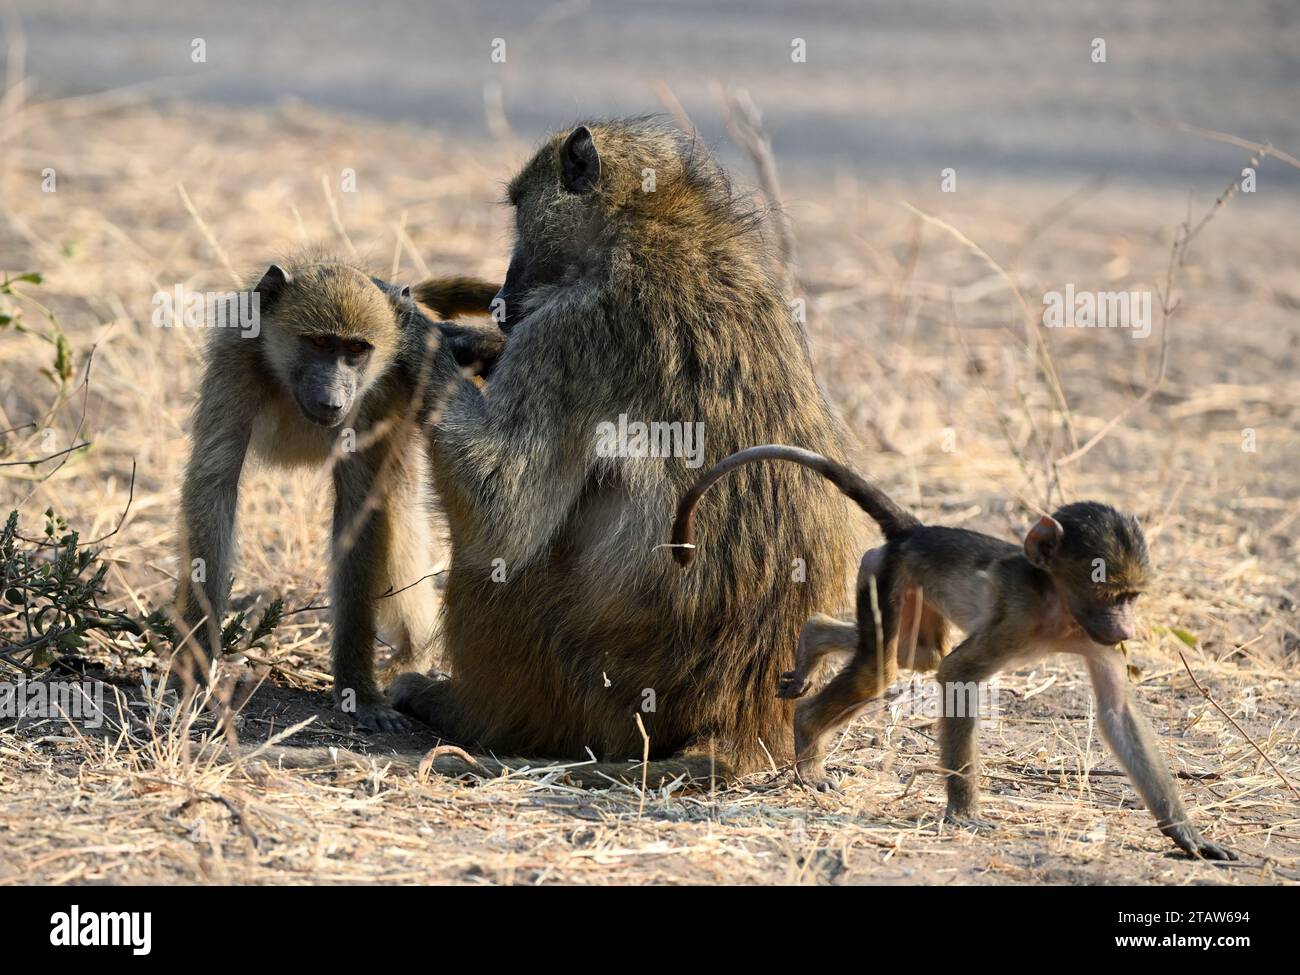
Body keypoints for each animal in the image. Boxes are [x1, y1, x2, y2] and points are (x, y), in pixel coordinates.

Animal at [174, 254, 499, 732]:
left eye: (356, 350)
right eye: (319, 343)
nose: (332, 400)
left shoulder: (378, 394)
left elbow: (360, 508)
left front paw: (358, 691)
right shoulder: (236, 360)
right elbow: (215, 484)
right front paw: (196, 667)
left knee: (399, 507)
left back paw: (412, 657)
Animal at [387, 119, 857, 772]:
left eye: (519, 211)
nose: (503, 296)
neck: (646, 219)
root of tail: (733, 716)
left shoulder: (571, 330)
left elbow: (502, 518)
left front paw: (413, 330)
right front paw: (469, 341)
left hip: (582, 683)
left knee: (496, 566)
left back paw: (459, 711)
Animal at [670, 445, 1236, 860]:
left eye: (1132, 597)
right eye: (1111, 595)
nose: (1129, 628)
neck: (1058, 606)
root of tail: (916, 532)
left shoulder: (1095, 639)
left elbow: (1118, 714)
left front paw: (1185, 834)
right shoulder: (1018, 616)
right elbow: (955, 673)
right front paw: (963, 812)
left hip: (901, 584)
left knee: (908, 655)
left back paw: (813, 639)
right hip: (886, 572)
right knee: (882, 667)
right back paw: (808, 738)